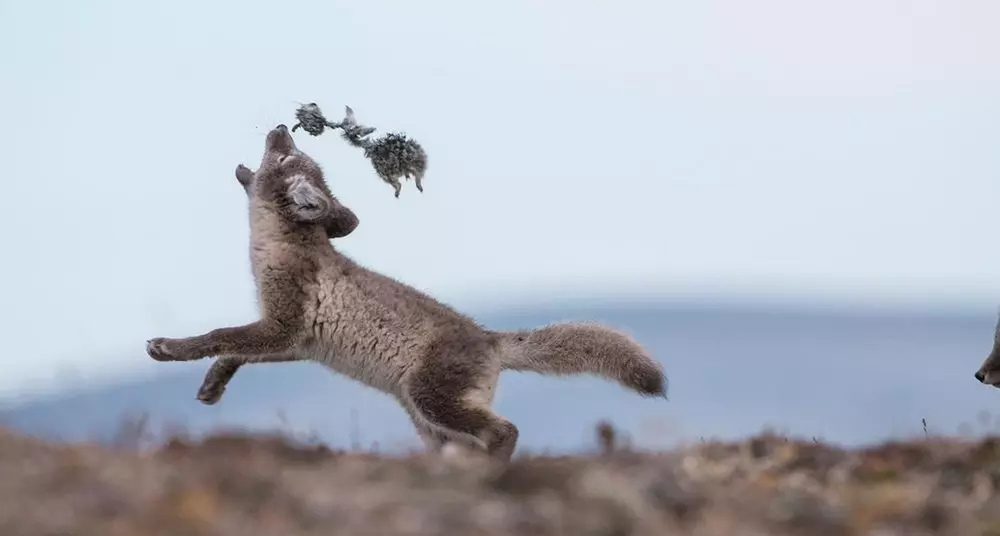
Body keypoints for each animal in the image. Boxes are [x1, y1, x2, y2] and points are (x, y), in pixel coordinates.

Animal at [146, 124, 664, 460]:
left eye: (285, 157)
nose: (280, 127)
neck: (280, 245)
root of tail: (491, 339)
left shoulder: (282, 325)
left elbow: (217, 335)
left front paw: (169, 348)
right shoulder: (296, 343)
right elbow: (235, 352)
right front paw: (213, 384)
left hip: (431, 400)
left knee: (506, 431)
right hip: (430, 424)